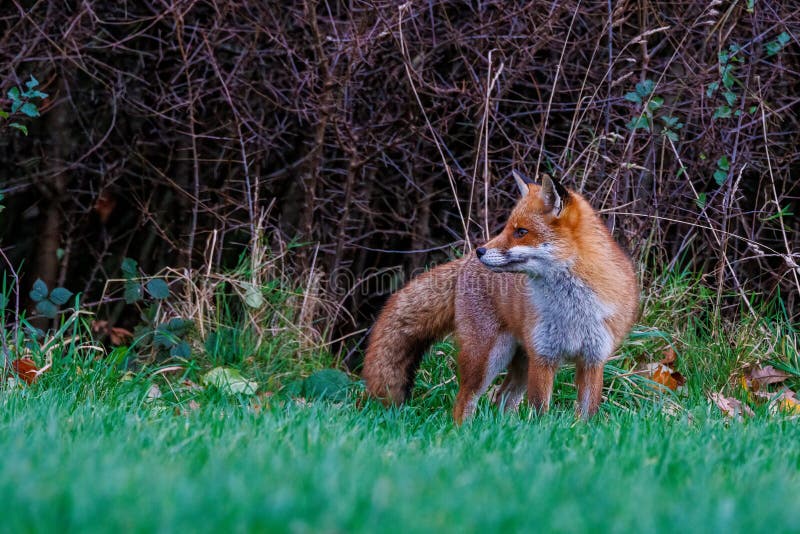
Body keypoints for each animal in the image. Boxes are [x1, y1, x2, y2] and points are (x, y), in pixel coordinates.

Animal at [362, 170, 639, 422]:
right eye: (507, 228)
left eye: (521, 231)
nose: (481, 250)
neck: (573, 308)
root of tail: (464, 264)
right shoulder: (544, 357)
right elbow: (540, 412)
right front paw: (542, 435)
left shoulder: (593, 360)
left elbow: (586, 416)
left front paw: (577, 435)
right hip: (488, 358)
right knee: (465, 401)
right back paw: (463, 434)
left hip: (520, 362)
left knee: (502, 398)